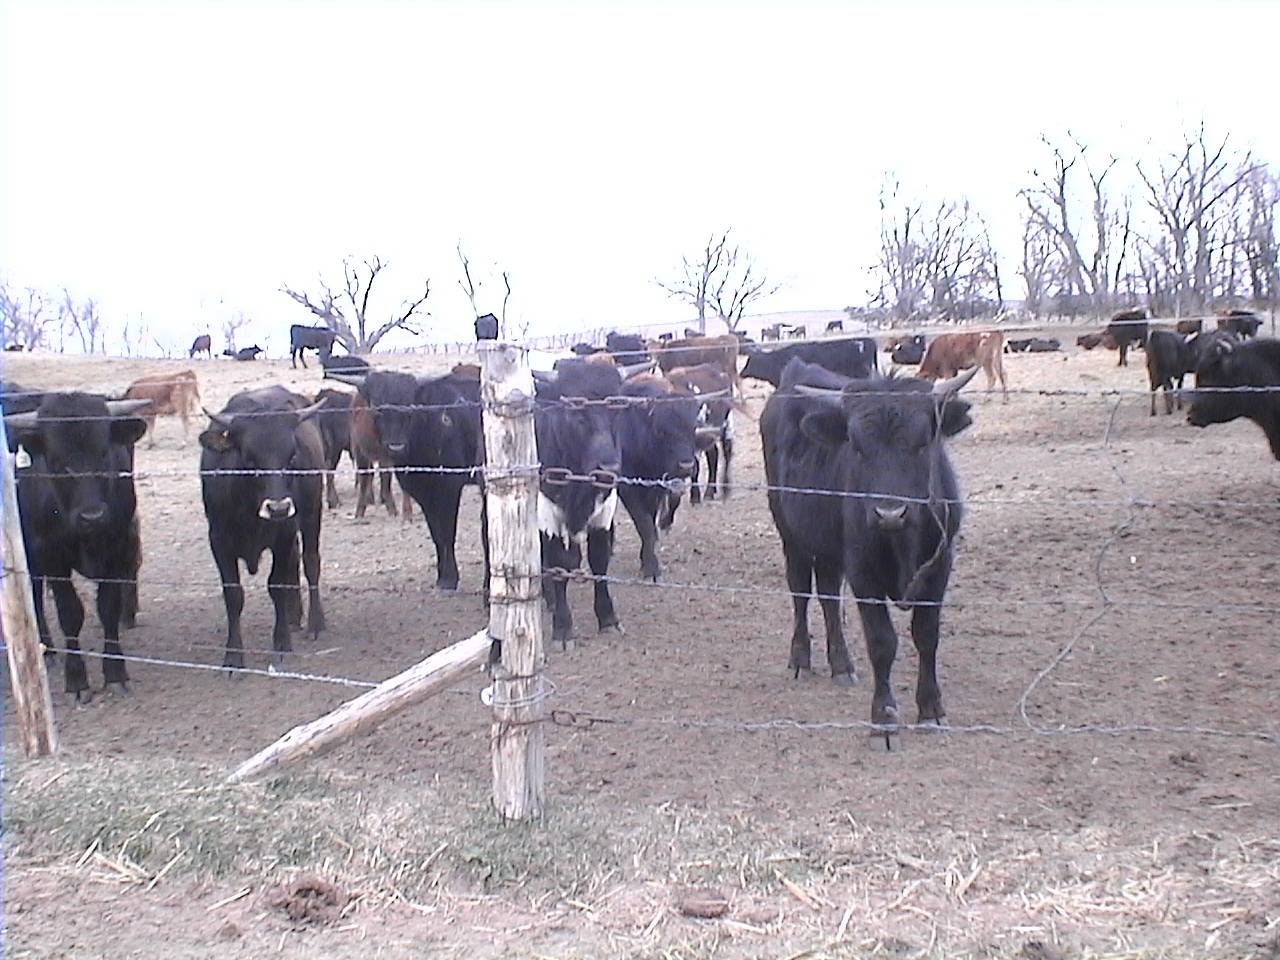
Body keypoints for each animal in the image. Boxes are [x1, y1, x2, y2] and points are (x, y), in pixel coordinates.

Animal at [4, 391, 151, 699]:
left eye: (104, 452)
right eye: (55, 460)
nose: (92, 516)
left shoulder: (117, 551)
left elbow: (108, 608)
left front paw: (115, 672)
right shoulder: (51, 556)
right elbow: (70, 613)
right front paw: (76, 678)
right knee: (34, 596)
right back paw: (46, 650)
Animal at [199, 387, 327, 669]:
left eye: (292, 456)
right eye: (249, 459)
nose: (278, 508)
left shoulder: (283, 535)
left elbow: (276, 585)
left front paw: (281, 643)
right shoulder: (218, 542)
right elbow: (233, 596)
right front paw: (234, 656)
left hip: (312, 512)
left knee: (310, 561)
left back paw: (315, 622)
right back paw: (293, 615)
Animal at [328, 368, 486, 591]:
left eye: (409, 408)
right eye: (378, 409)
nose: (396, 446)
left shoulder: (449, 488)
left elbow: (447, 532)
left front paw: (449, 579)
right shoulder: (422, 491)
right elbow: (436, 534)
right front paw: (441, 576)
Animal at [529, 361, 625, 648]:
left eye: (617, 408)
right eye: (576, 412)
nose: (609, 469)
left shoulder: (605, 508)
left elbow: (599, 559)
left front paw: (607, 618)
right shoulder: (546, 509)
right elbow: (558, 563)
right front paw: (562, 627)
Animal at [760, 359, 978, 727]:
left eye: (923, 443)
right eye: (857, 447)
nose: (889, 513)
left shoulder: (940, 565)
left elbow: (926, 634)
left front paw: (931, 708)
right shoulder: (863, 572)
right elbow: (881, 642)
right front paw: (884, 713)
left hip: (829, 548)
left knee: (829, 597)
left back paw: (841, 665)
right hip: (790, 534)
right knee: (801, 591)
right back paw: (801, 658)